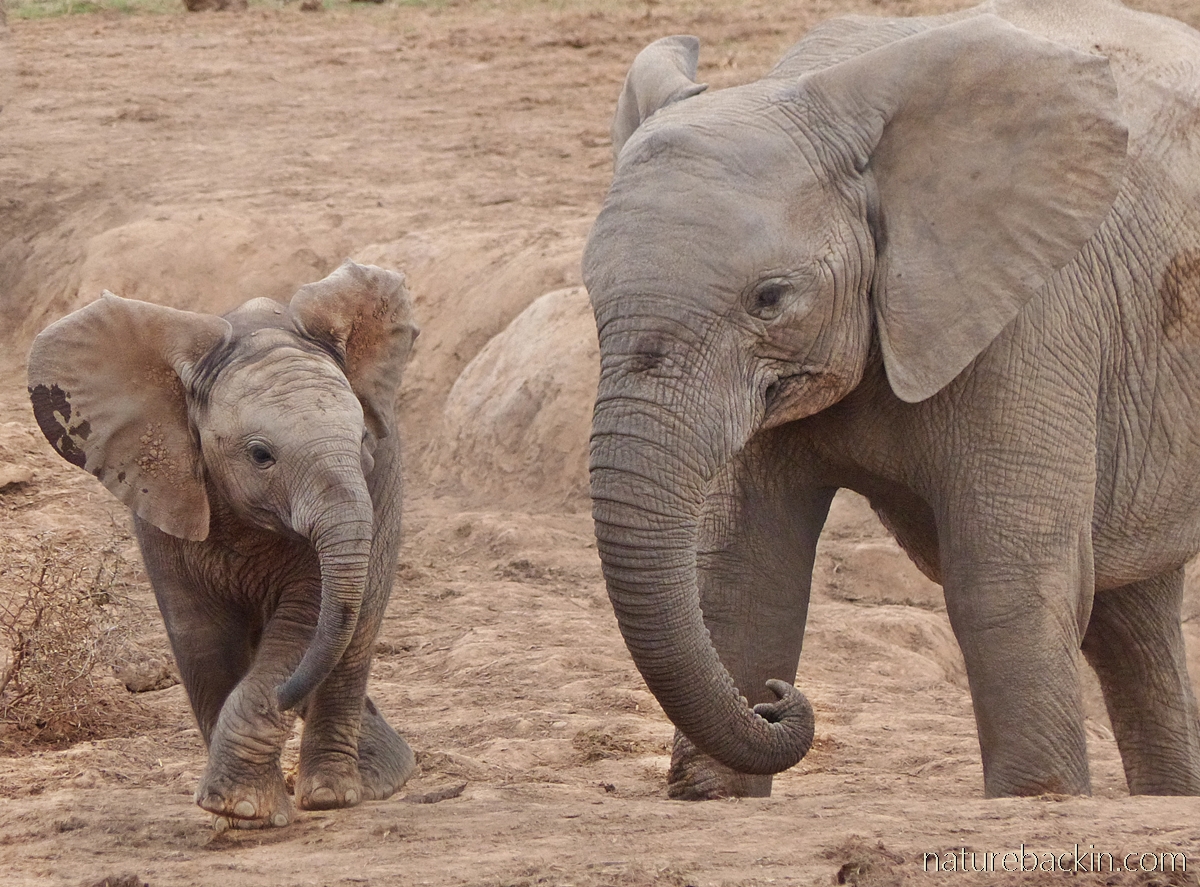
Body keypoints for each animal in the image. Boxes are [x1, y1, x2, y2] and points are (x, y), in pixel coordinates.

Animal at [27, 260, 420, 828]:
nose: (286, 697)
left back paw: (340, 792)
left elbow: (304, 620)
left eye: (363, 441)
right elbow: (201, 635)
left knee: (355, 634)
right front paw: (238, 814)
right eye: (260, 455)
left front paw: (243, 808)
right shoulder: (162, 493)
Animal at [584, 0, 1200, 801]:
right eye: (592, 292)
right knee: (1132, 619)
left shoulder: (1033, 316)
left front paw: (1034, 798)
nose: (776, 699)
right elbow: (747, 569)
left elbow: (1000, 574)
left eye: (769, 298)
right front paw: (713, 798)